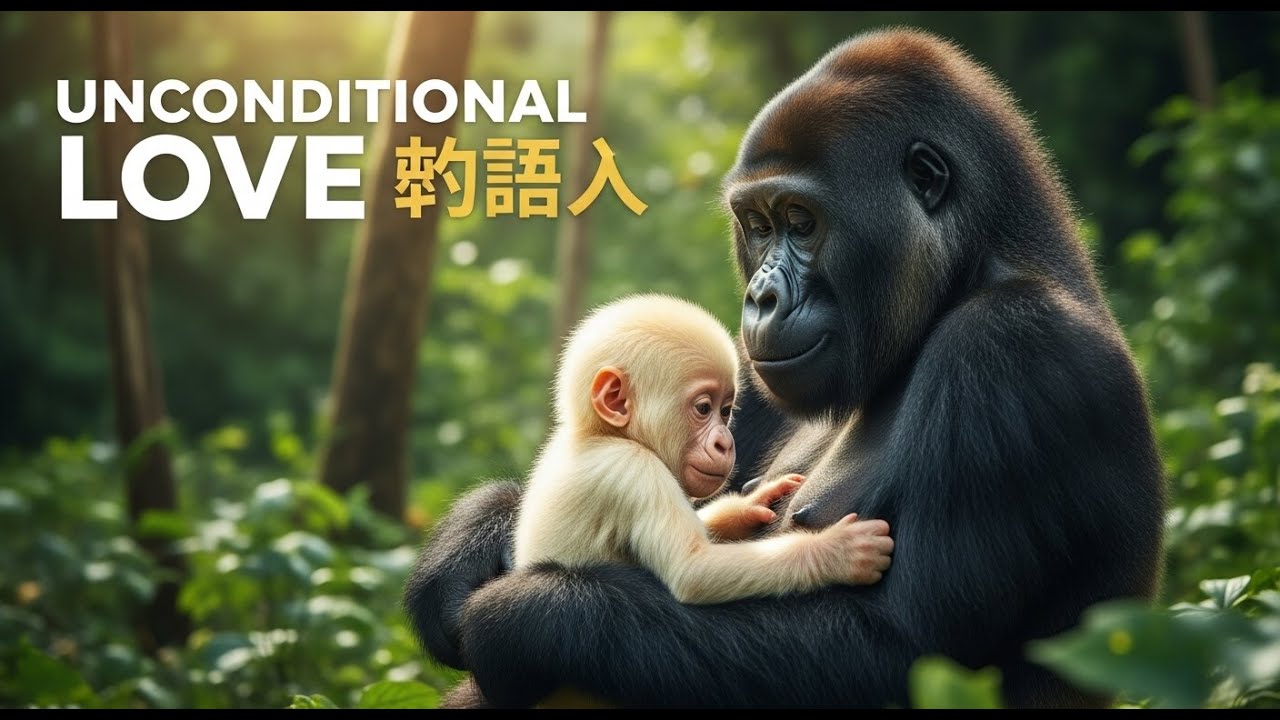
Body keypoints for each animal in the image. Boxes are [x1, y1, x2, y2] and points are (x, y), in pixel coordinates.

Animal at [514, 294, 893, 606]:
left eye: (725, 411)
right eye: (703, 408)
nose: (724, 442)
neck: (599, 434)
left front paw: (748, 507)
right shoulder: (632, 470)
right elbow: (694, 570)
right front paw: (836, 551)